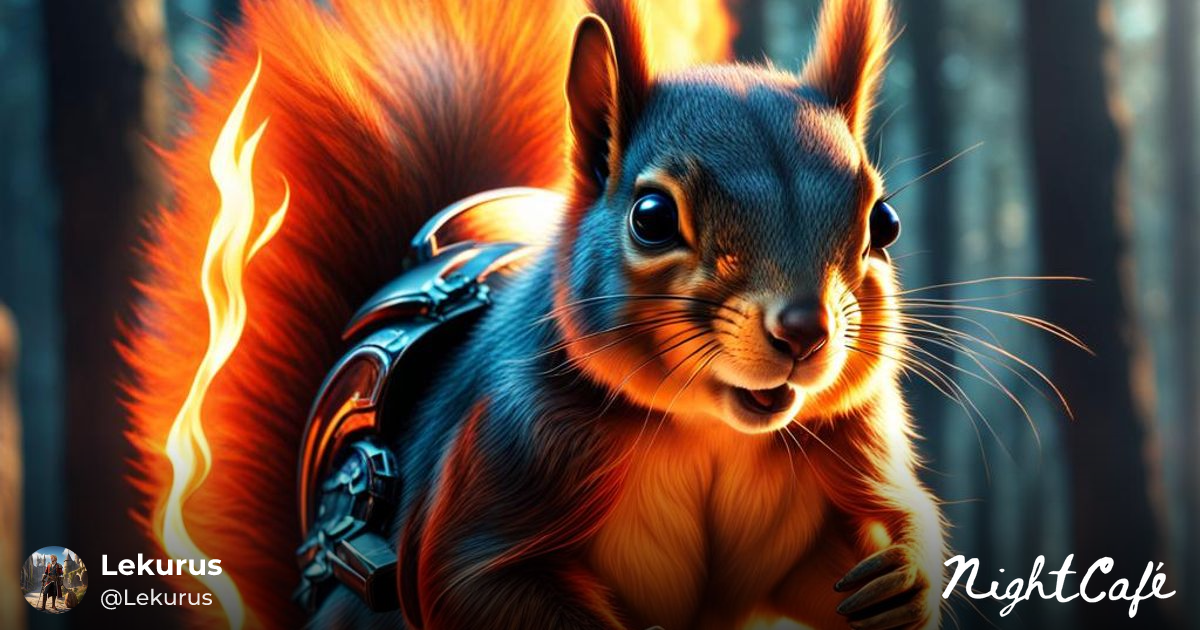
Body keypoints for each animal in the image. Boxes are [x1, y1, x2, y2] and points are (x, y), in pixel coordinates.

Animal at [122, 0, 945, 628]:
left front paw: (899, 581)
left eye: (885, 223)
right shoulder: (511, 442)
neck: (711, 432)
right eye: (652, 217)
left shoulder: (853, 441)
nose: (805, 331)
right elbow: (466, 581)